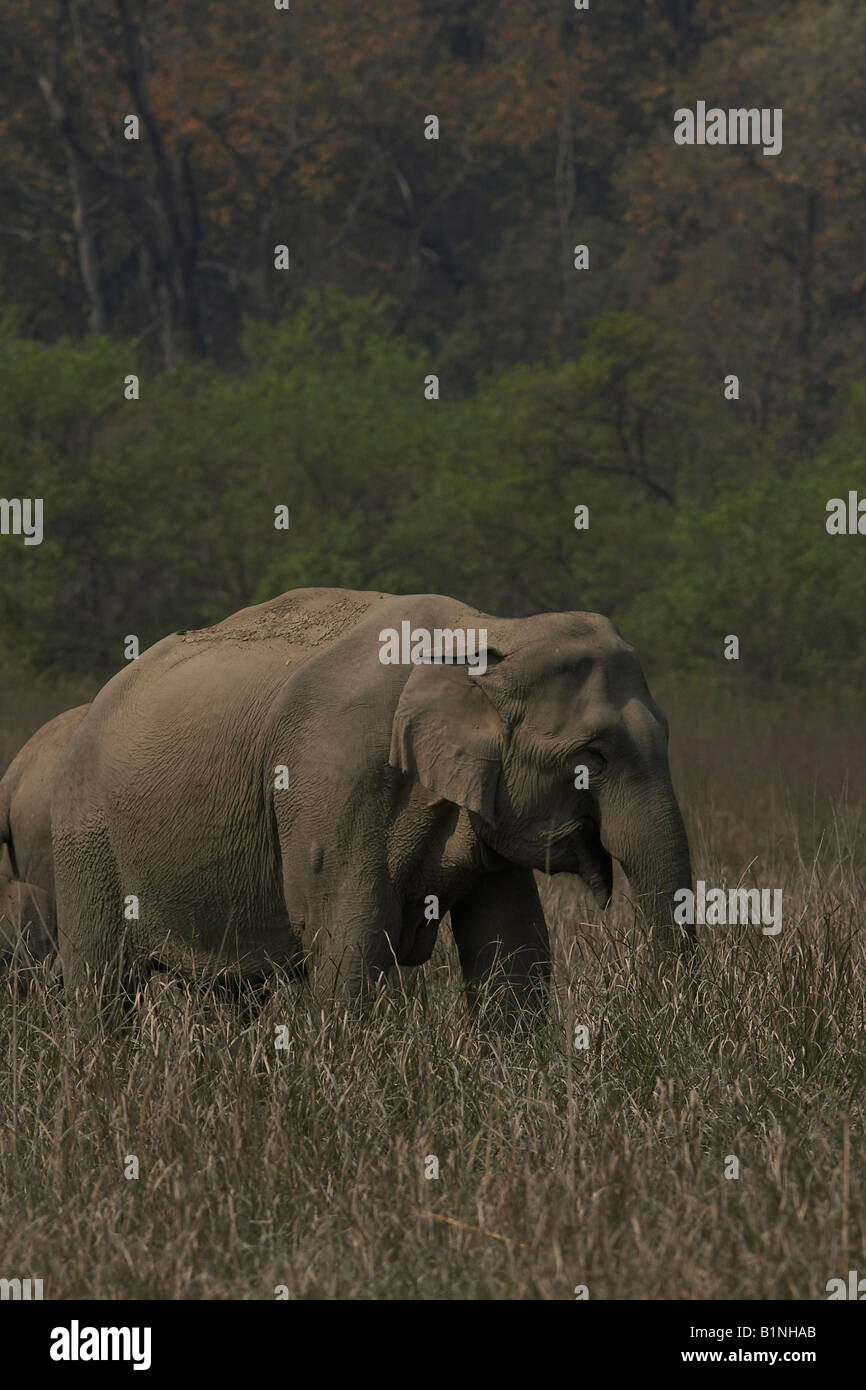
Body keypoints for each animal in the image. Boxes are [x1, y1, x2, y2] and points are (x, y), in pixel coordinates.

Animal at [52, 589, 692, 1017]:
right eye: (593, 756)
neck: (484, 632)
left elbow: (512, 945)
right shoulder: (334, 780)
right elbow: (348, 942)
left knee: (229, 992)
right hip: (86, 842)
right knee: (101, 982)